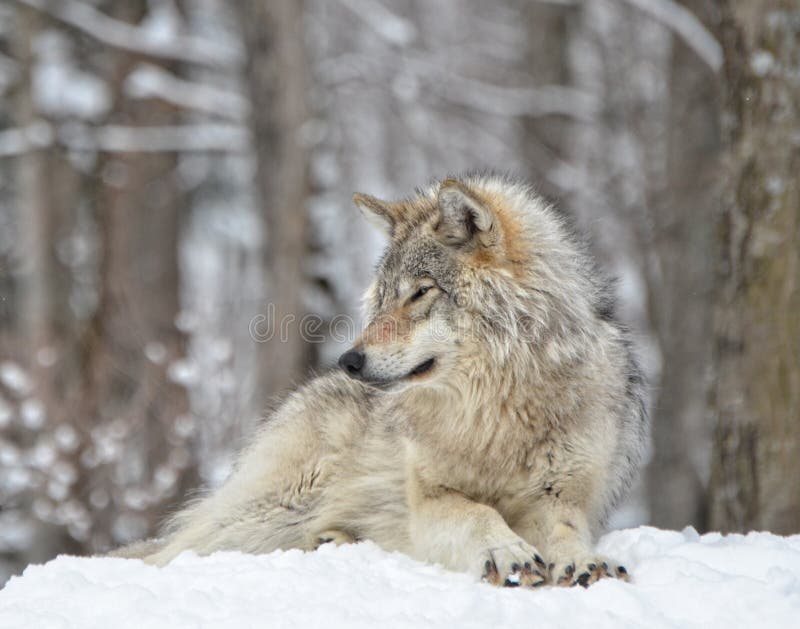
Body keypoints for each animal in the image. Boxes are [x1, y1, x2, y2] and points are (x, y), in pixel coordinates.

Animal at [122, 174, 648, 588]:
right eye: (383, 298)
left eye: (420, 293)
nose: (349, 360)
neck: (491, 411)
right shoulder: (431, 499)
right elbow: (477, 513)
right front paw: (508, 553)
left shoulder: (563, 495)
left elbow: (565, 529)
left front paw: (584, 561)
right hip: (270, 511)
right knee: (168, 552)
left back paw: (334, 538)